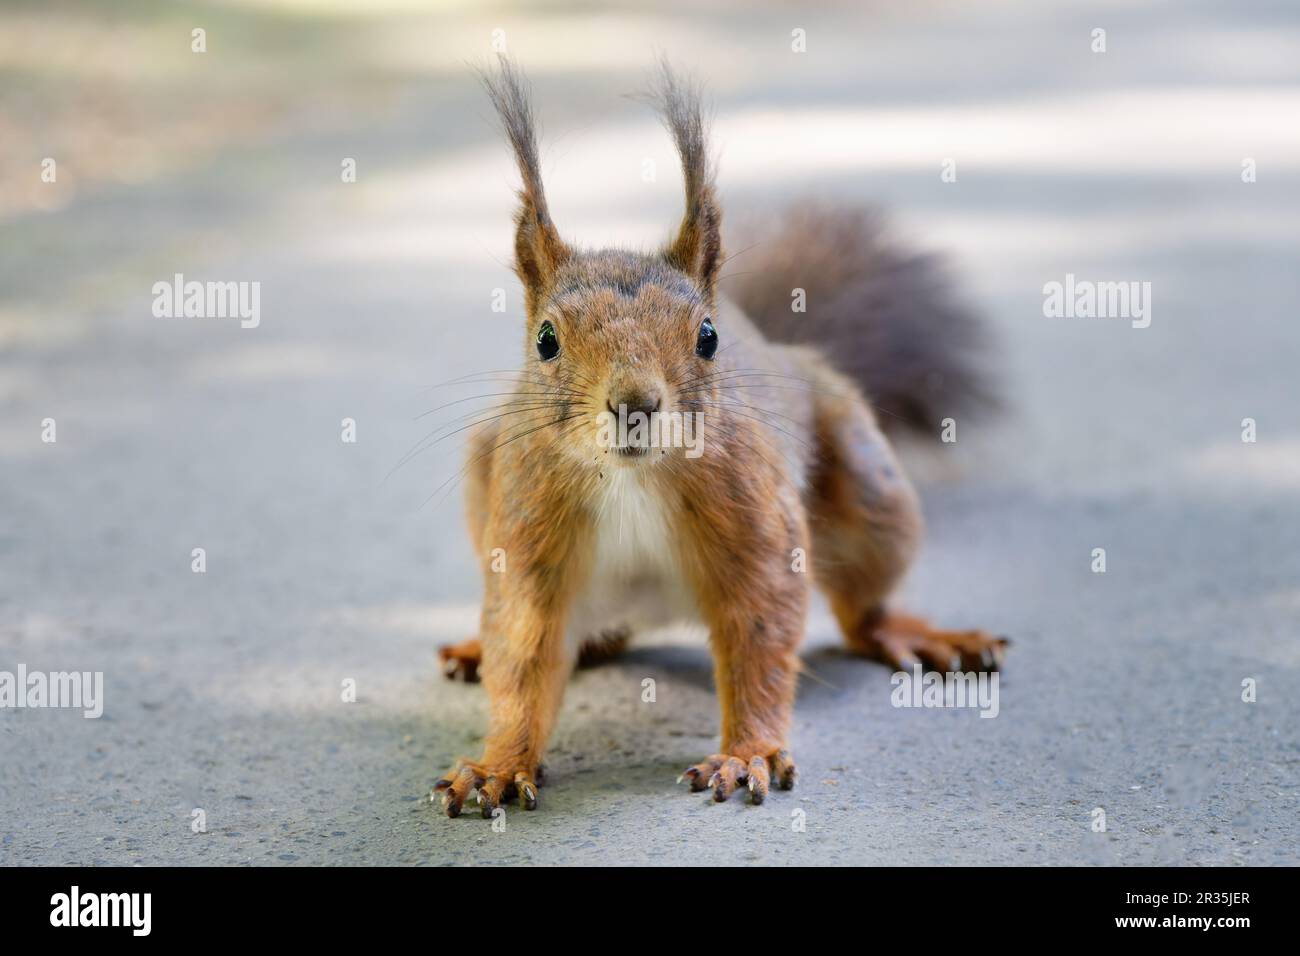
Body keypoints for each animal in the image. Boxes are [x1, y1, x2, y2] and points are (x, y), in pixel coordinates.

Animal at [434, 58, 1006, 818]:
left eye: (707, 338)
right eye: (546, 340)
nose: (636, 405)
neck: (630, 479)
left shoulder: (756, 521)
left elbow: (759, 633)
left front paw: (747, 754)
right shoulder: (527, 534)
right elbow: (524, 652)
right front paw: (497, 764)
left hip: (870, 485)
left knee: (863, 610)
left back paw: (918, 634)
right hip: (485, 472)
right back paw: (484, 650)